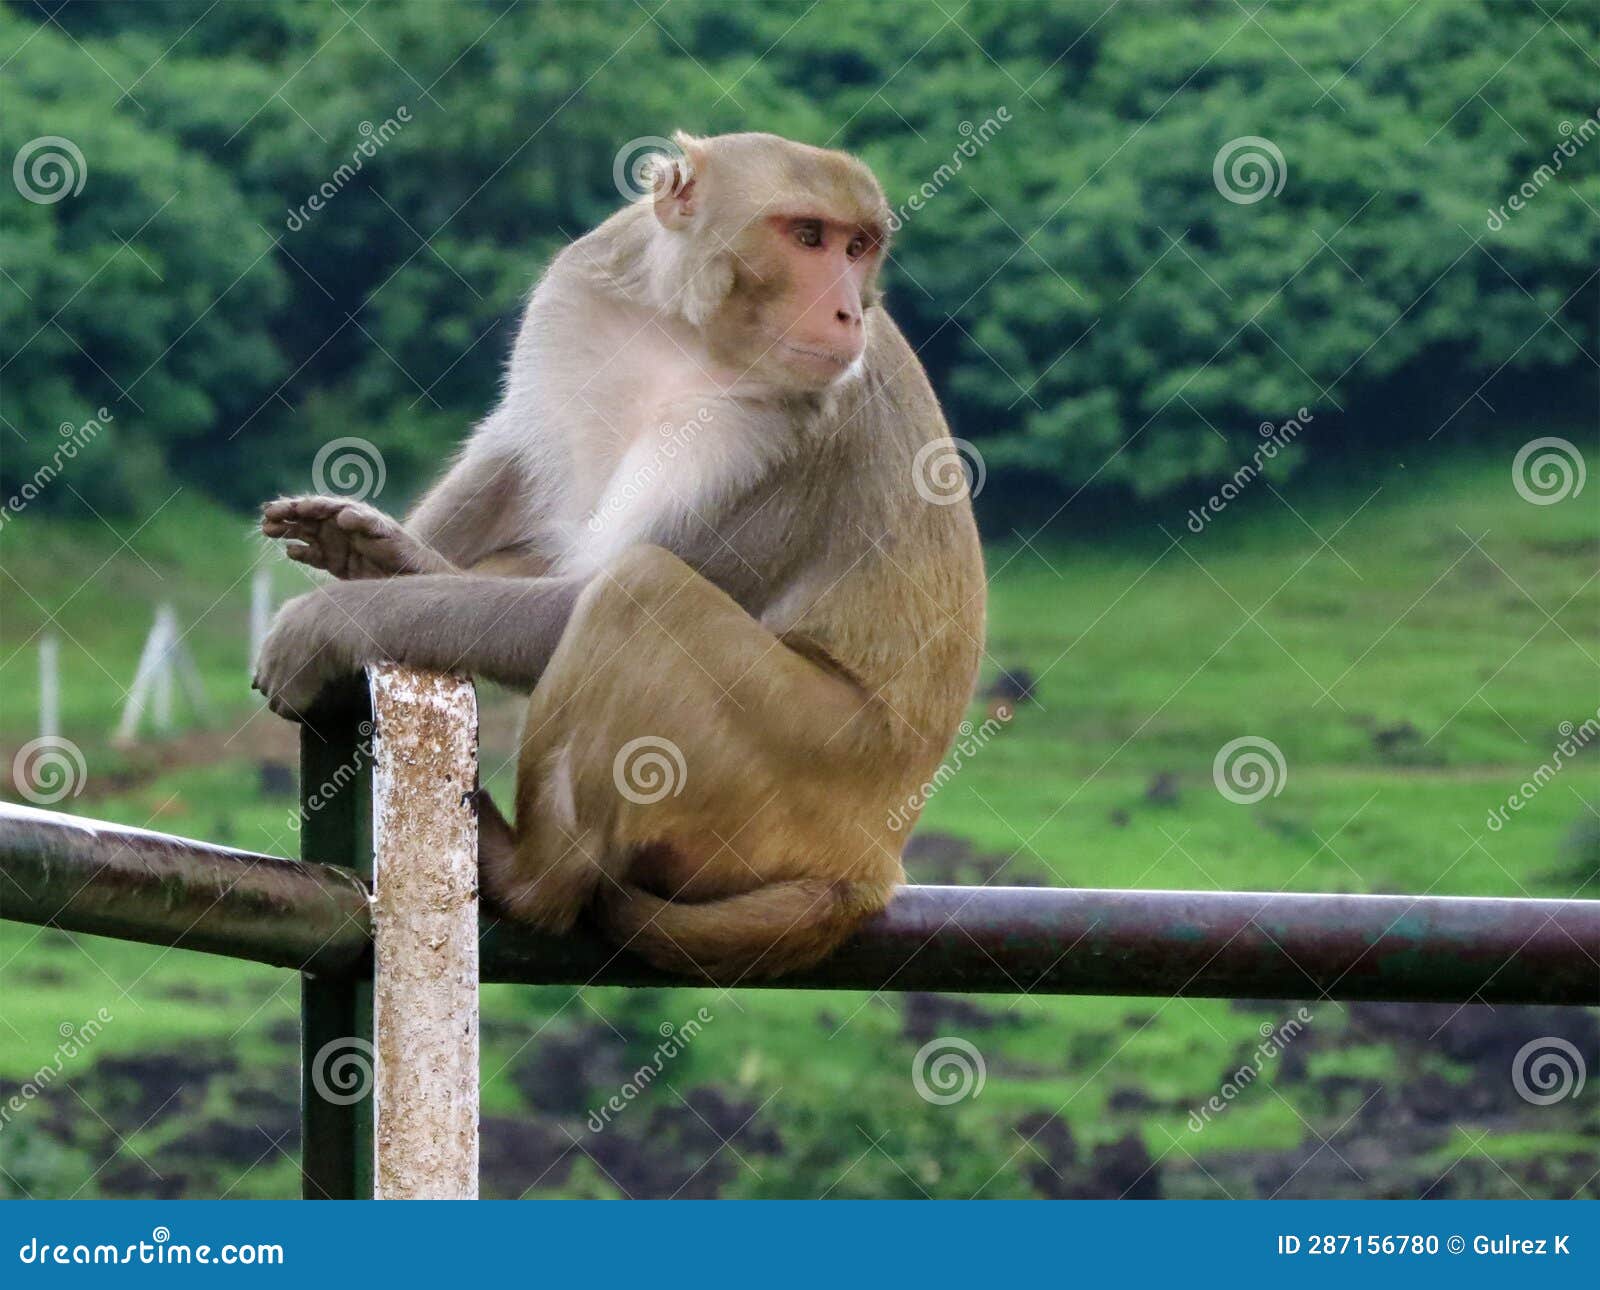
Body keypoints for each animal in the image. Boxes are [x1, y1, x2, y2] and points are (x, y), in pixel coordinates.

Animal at [255, 130, 986, 981]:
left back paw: (530, 876)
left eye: (858, 246)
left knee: (640, 593)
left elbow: (577, 598)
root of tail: (872, 863)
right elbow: (523, 463)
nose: (846, 311)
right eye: (810, 237)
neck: (687, 328)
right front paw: (375, 547)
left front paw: (327, 620)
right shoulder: (581, 296)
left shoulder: (783, 436)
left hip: (810, 767)